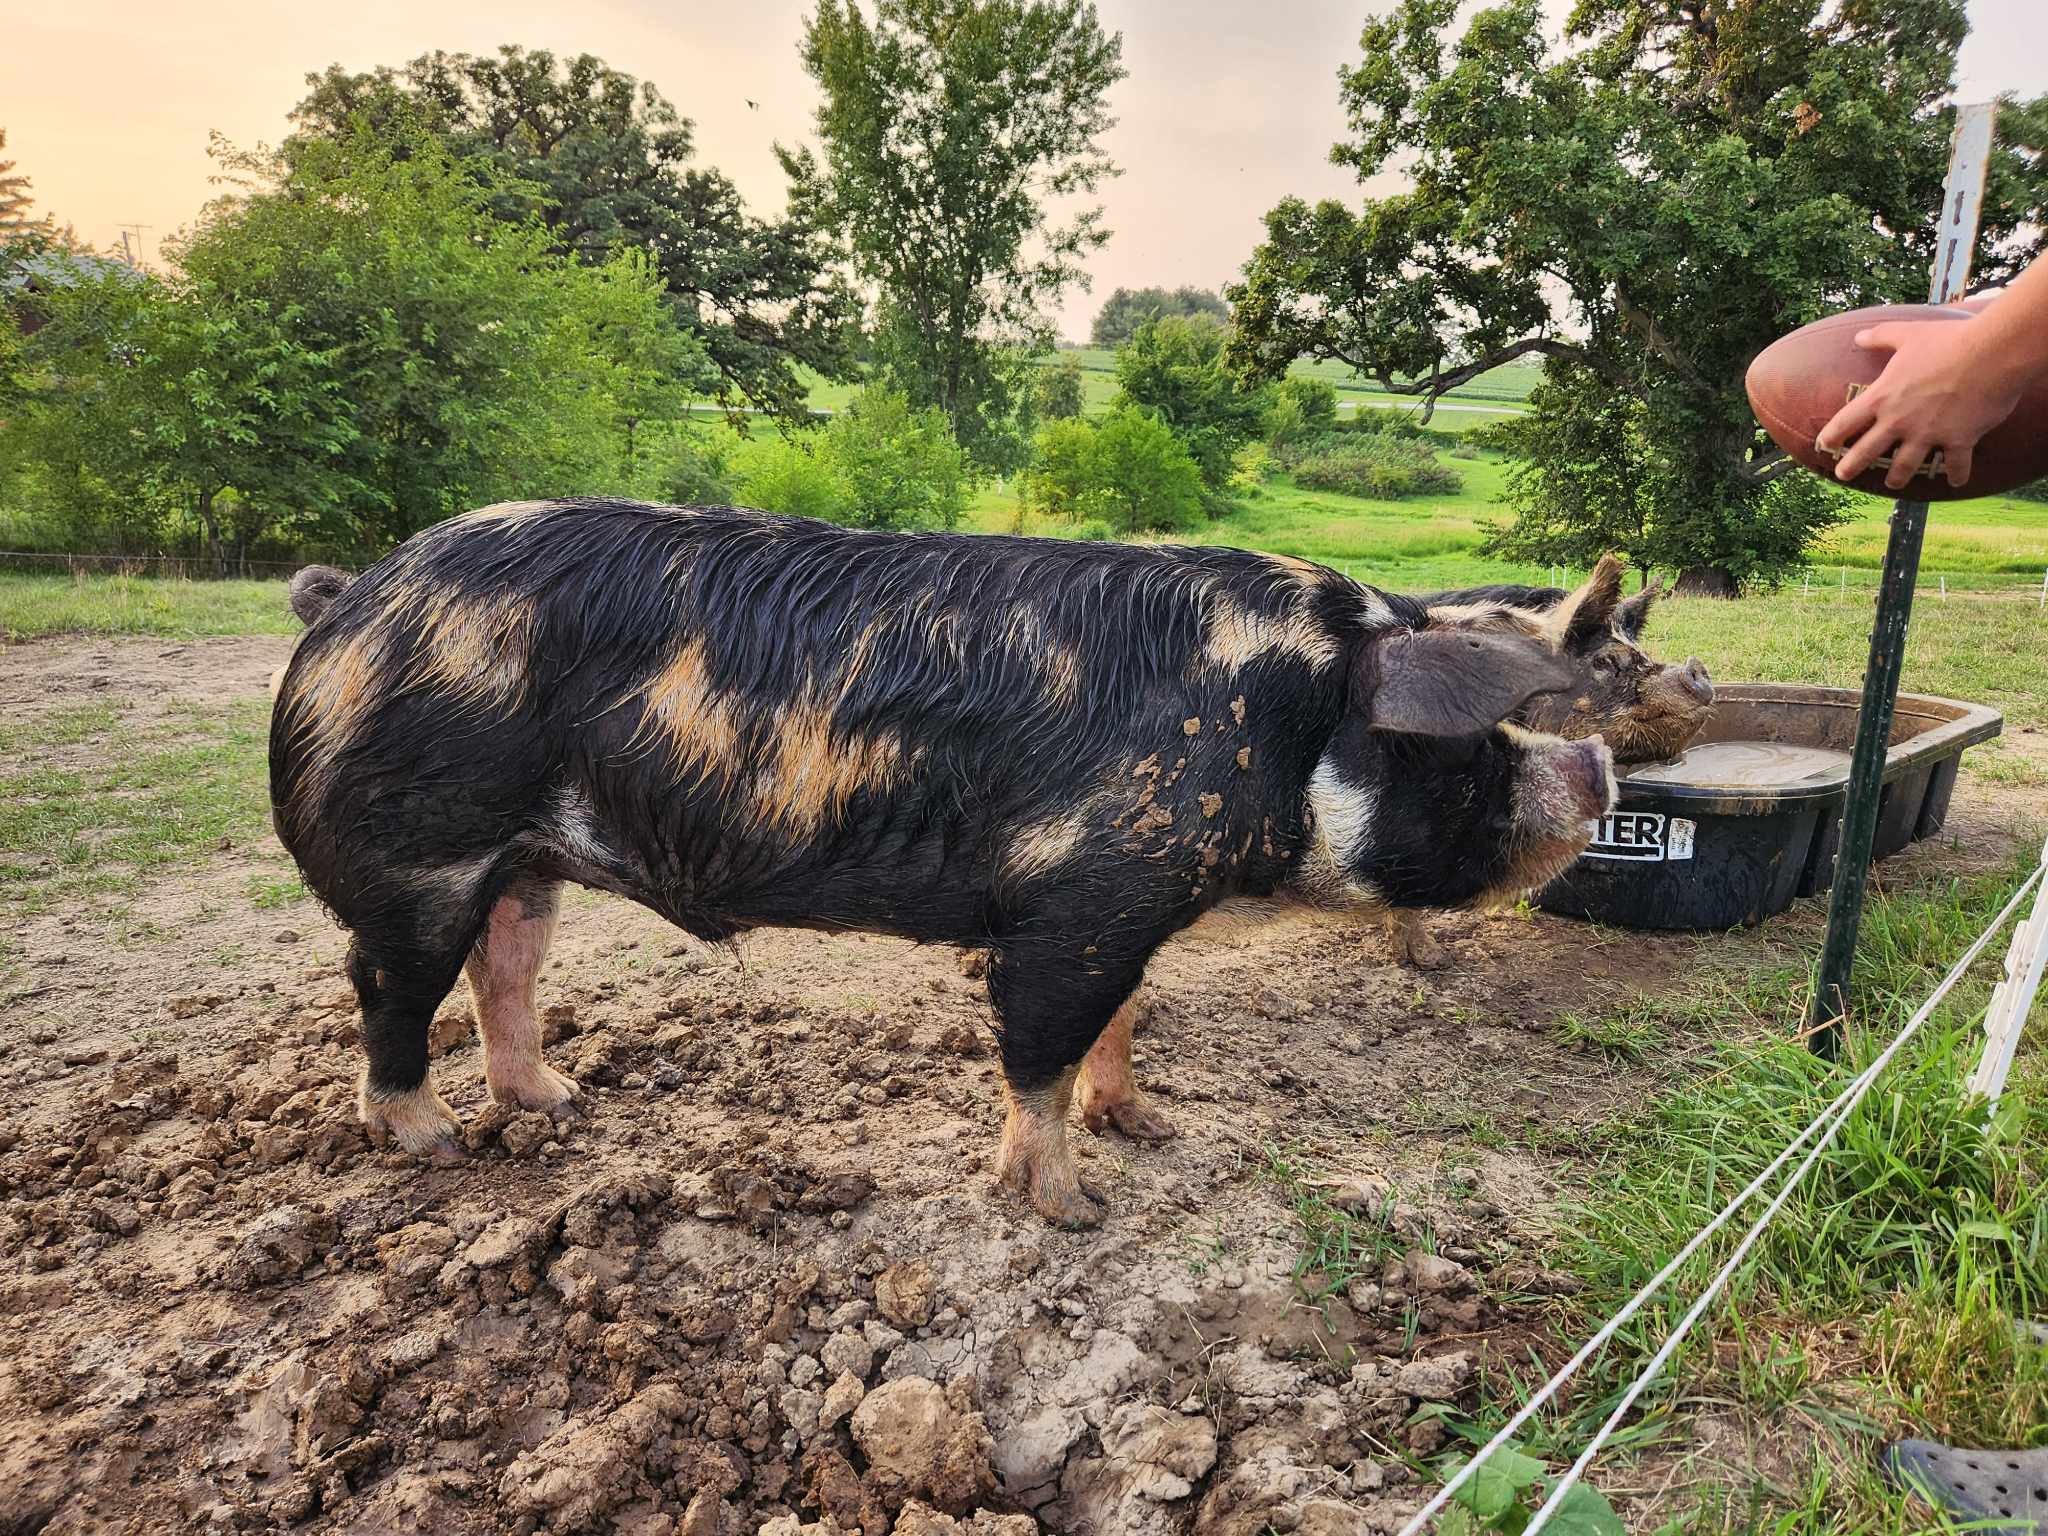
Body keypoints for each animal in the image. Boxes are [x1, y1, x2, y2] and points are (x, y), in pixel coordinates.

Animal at [270, 499, 1614, 1227]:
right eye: (1462, 753)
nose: (1594, 763)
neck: (1276, 717)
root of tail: (346, 607)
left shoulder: (1126, 906)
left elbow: (1119, 1025)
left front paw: (1150, 1126)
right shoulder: (1072, 905)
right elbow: (1038, 1052)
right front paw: (1070, 1207)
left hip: (521, 858)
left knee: (504, 968)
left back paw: (555, 1105)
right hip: (415, 852)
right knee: (388, 992)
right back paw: (432, 1141)